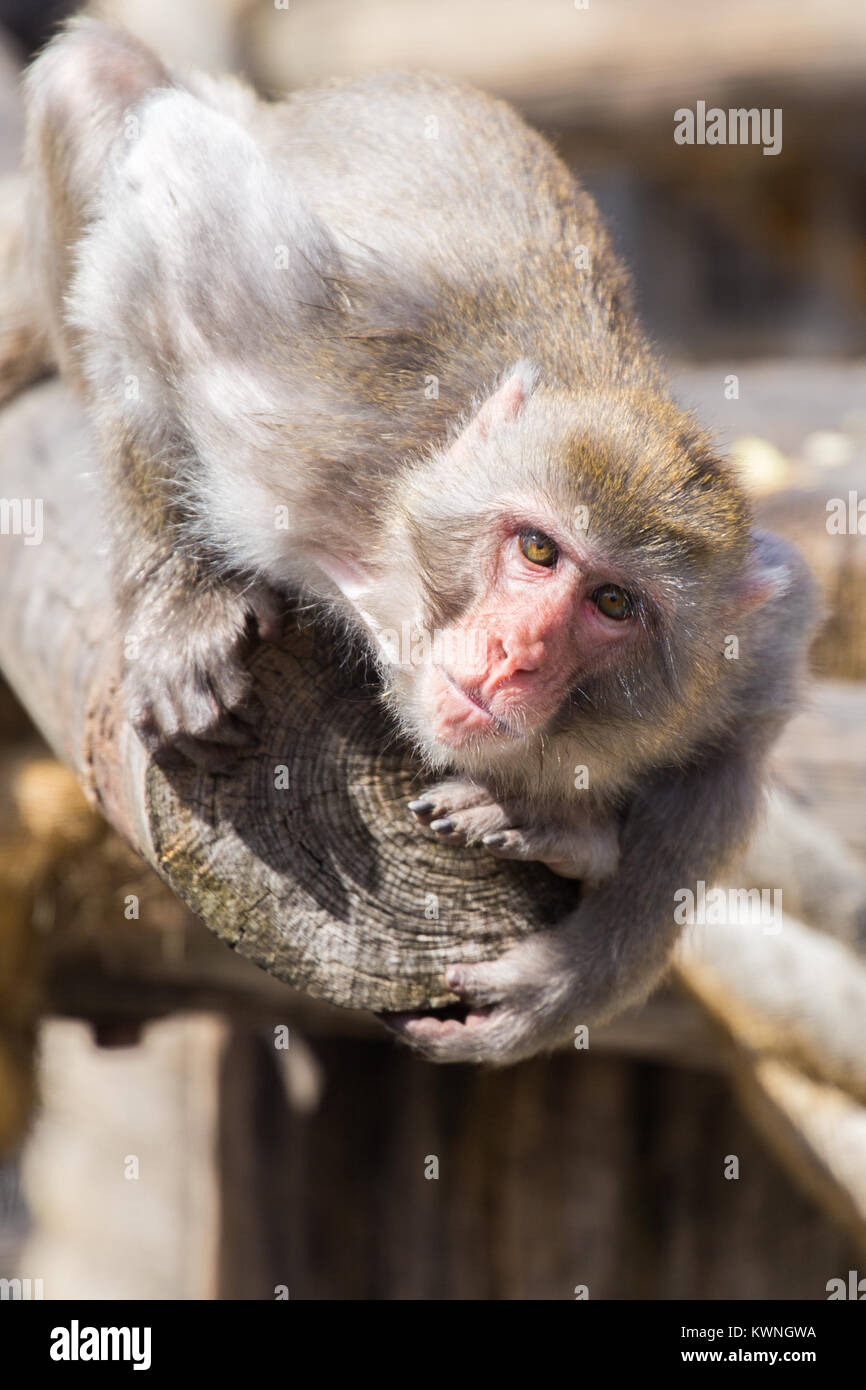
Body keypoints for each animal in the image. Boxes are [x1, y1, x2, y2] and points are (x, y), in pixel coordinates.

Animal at [12, 19, 817, 1065]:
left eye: (613, 603)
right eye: (538, 551)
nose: (515, 653)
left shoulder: (738, 635)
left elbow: (772, 661)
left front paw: (574, 954)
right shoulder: (321, 403)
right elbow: (166, 217)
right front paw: (179, 602)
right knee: (99, 75)